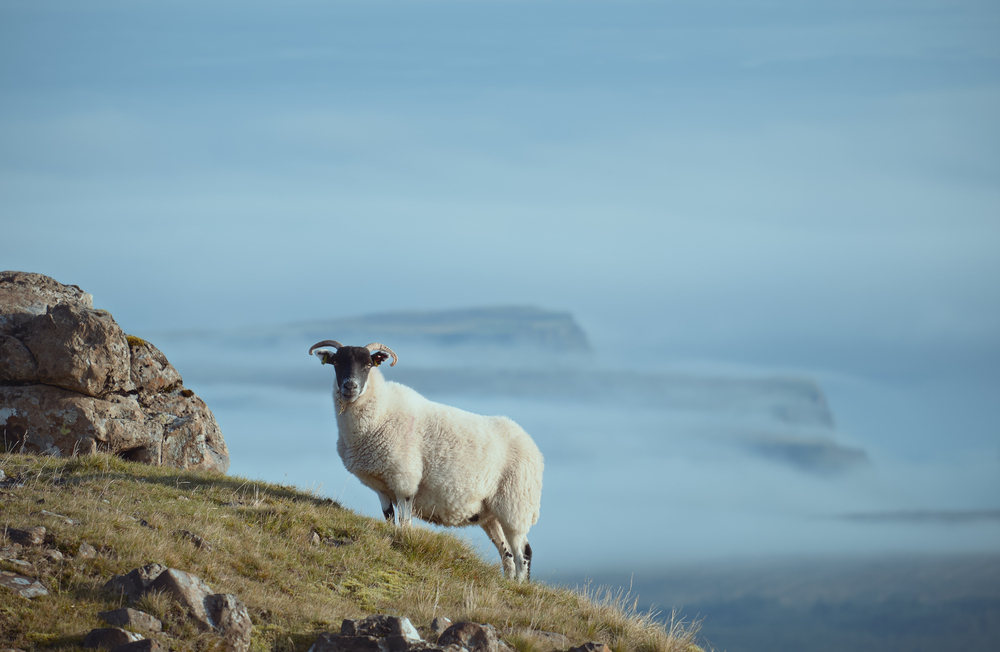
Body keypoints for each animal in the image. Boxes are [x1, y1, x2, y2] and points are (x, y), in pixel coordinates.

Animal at [308, 340, 543, 582]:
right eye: (337, 363)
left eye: (368, 365)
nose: (350, 387)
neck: (382, 411)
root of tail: (534, 448)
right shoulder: (382, 486)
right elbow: (390, 519)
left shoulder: (405, 481)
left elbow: (405, 523)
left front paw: (404, 542)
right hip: (491, 514)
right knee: (506, 553)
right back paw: (508, 583)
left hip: (515, 506)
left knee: (523, 552)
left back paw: (520, 584)